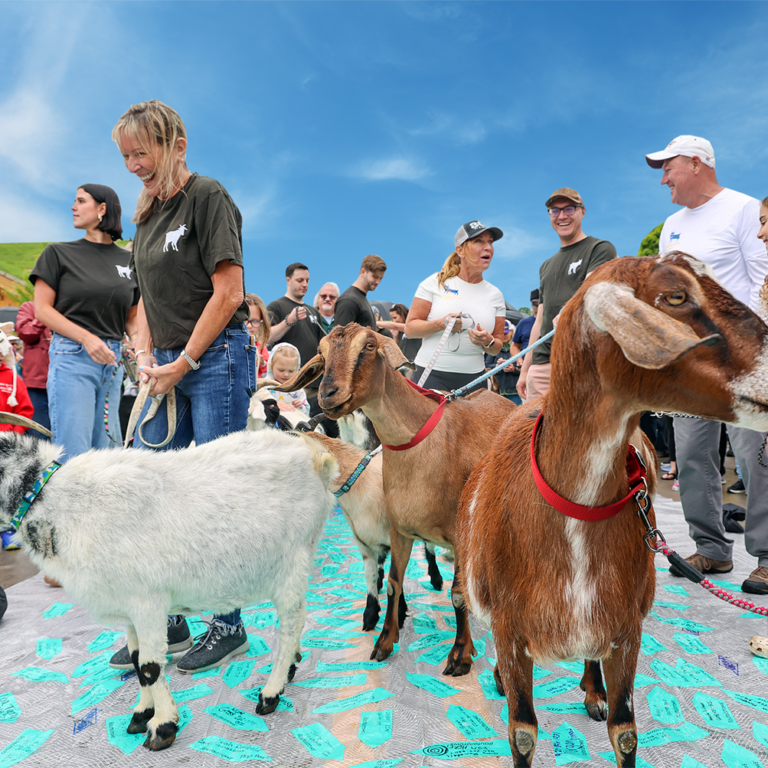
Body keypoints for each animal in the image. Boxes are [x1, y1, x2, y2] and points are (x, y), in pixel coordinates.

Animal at [0, 425, 337, 751]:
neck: (57, 502)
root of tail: (315, 456)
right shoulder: (130, 611)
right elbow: (137, 660)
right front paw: (141, 713)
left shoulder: (146, 601)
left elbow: (150, 666)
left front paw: (162, 728)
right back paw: (291, 668)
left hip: (292, 562)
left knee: (292, 624)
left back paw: (271, 692)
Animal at [275, 323, 516, 676]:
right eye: (321, 352)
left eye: (369, 346)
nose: (328, 393)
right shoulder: (399, 529)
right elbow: (391, 582)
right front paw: (384, 642)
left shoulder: (458, 535)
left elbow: (457, 594)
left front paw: (460, 654)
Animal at [455, 252, 768, 767]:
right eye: (675, 296)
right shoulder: (510, 631)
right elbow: (522, 732)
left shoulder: (626, 629)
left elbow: (625, 731)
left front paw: (604, 700)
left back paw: (592, 692)